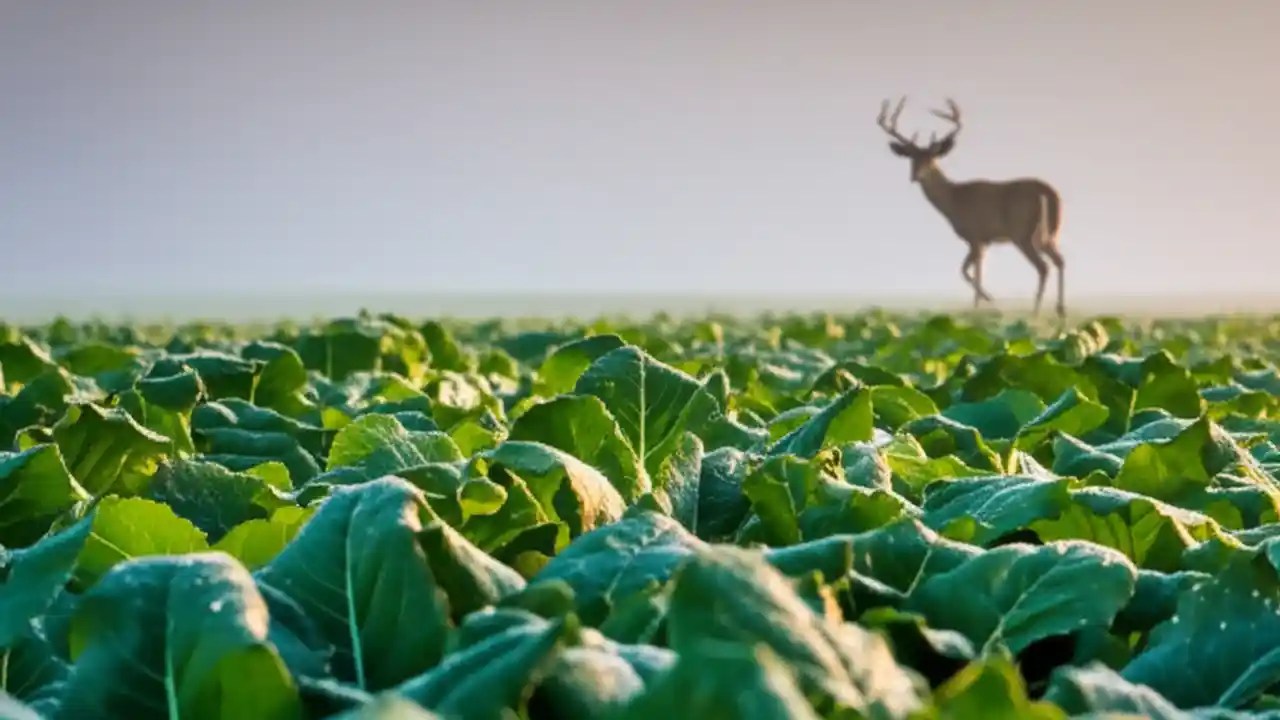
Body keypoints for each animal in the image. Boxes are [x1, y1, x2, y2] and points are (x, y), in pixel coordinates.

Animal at [876, 97, 1065, 318]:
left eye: (932, 158)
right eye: (912, 158)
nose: (916, 176)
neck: (954, 200)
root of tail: (1047, 193)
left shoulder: (975, 235)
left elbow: (968, 271)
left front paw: (984, 302)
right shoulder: (982, 240)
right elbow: (971, 271)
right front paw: (984, 302)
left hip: (1022, 233)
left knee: (1043, 267)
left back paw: (1035, 312)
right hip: (1049, 233)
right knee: (1059, 261)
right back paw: (1060, 310)